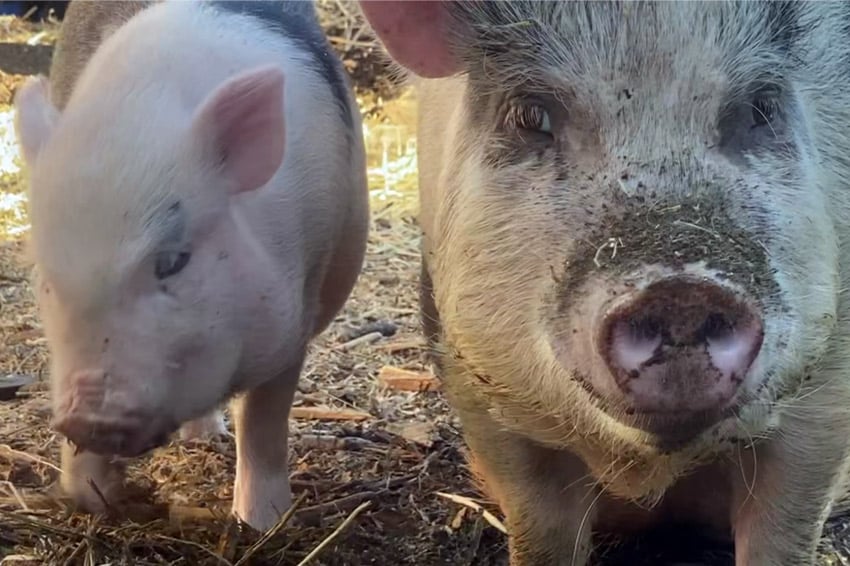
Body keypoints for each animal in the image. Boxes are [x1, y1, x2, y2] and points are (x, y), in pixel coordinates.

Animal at [14, 0, 369, 532]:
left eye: (172, 262)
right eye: (49, 282)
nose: (90, 416)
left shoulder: (296, 309)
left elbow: (263, 417)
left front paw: (261, 524)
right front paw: (92, 498)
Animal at [360, 1, 850, 564]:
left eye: (762, 108)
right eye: (530, 116)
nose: (680, 292)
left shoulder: (826, 389)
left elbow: (786, 532)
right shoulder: (480, 390)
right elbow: (542, 531)